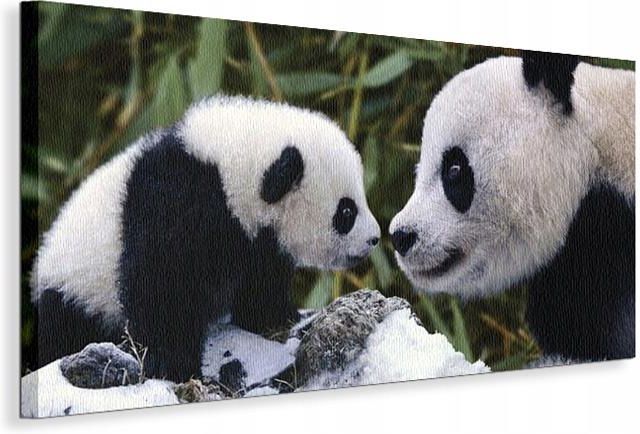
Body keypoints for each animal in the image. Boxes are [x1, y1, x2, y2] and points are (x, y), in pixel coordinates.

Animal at [31, 95, 381, 381]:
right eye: (346, 212)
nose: (375, 239)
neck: (230, 170)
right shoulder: (176, 204)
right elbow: (161, 282)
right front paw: (171, 362)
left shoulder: (252, 240)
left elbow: (260, 277)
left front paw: (274, 317)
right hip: (75, 295)